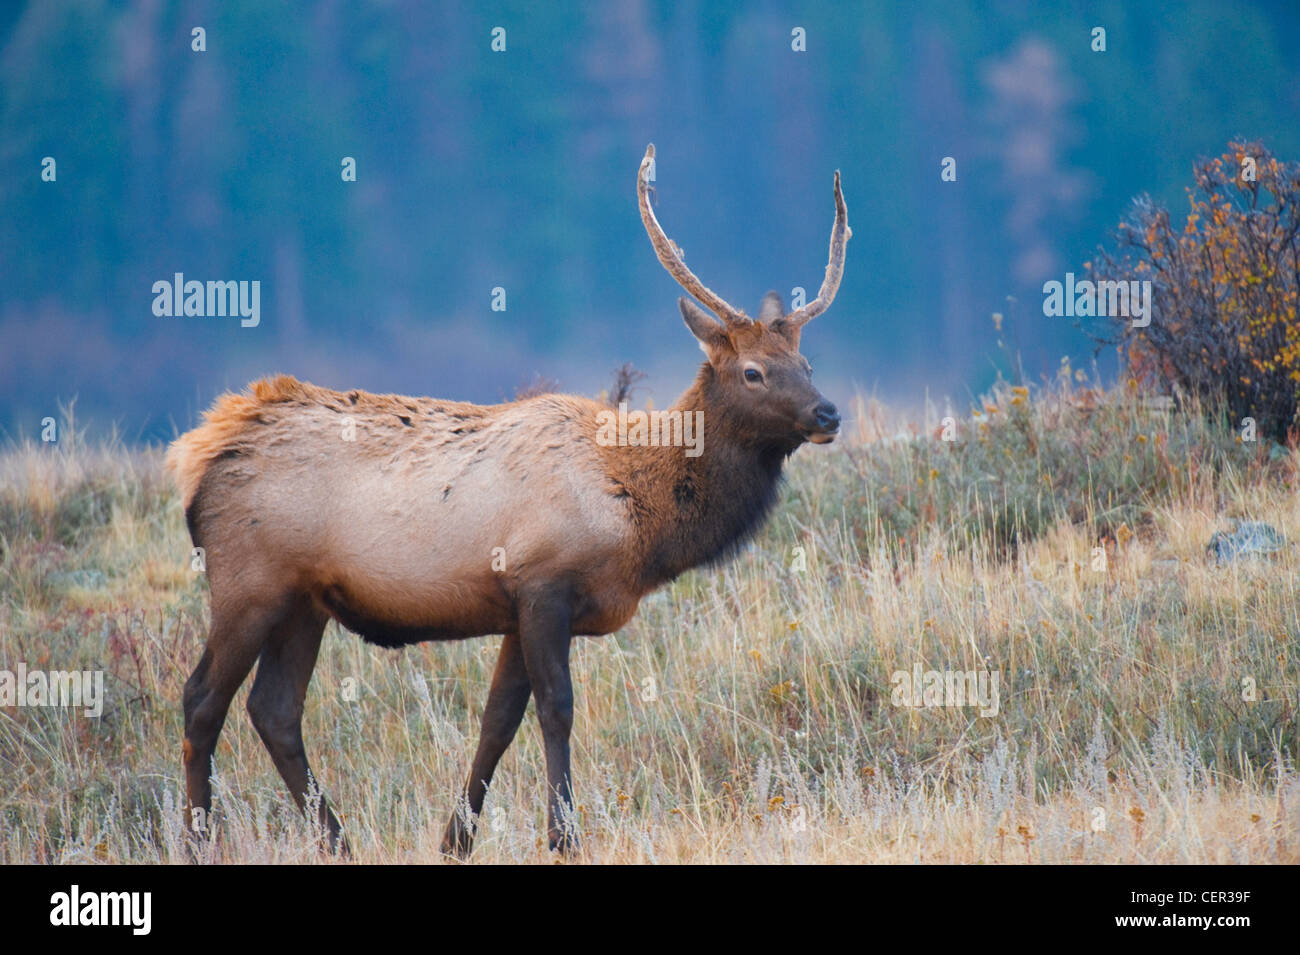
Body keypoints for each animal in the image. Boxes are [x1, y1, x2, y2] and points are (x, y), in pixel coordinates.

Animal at [168, 143, 850, 859]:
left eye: (807, 366)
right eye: (753, 371)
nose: (828, 413)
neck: (640, 516)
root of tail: (200, 453)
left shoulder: (516, 605)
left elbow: (498, 719)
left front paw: (456, 839)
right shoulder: (543, 583)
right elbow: (556, 709)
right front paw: (564, 836)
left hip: (304, 600)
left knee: (273, 709)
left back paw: (339, 841)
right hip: (249, 581)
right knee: (202, 700)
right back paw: (197, 841)